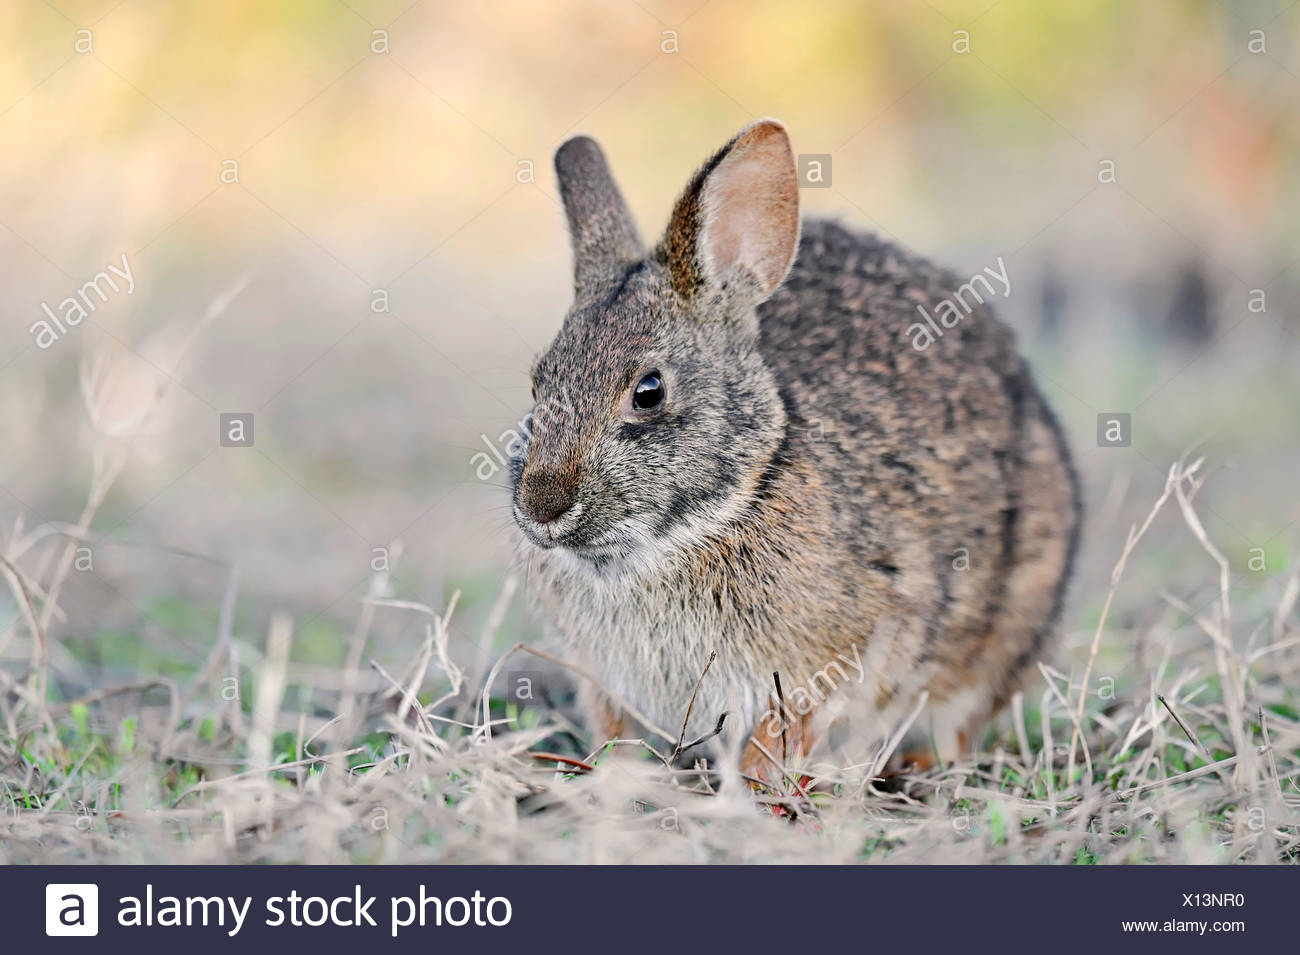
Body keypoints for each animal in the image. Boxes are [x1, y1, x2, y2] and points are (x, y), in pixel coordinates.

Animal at [508, 118, 1080, 786]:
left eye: (648, 392)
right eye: (538, 384)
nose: (542, 508)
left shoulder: (821, 667)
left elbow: (781, 736)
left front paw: (756, 789)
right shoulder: (606, 681)